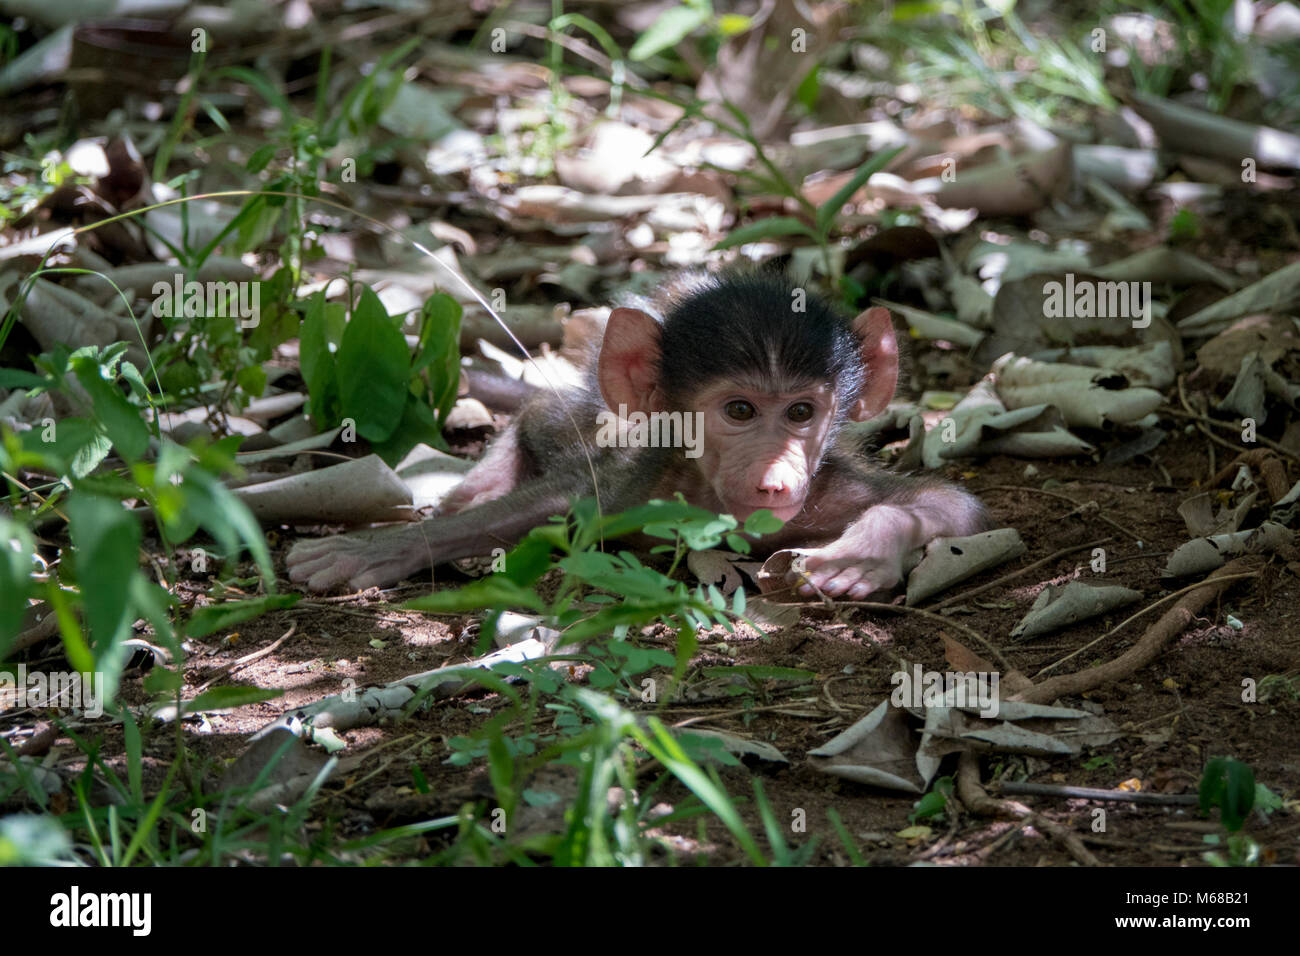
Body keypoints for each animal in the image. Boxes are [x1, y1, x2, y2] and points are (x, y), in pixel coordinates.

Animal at [286, 271, 988, 599]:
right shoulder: (635, 485)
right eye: (739, 410)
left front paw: (862, 554)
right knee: (543, 417)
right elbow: (544, 504)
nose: (775, 477)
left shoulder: (829, 495)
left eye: (800, 413)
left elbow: (951, 506)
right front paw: (384, 547)